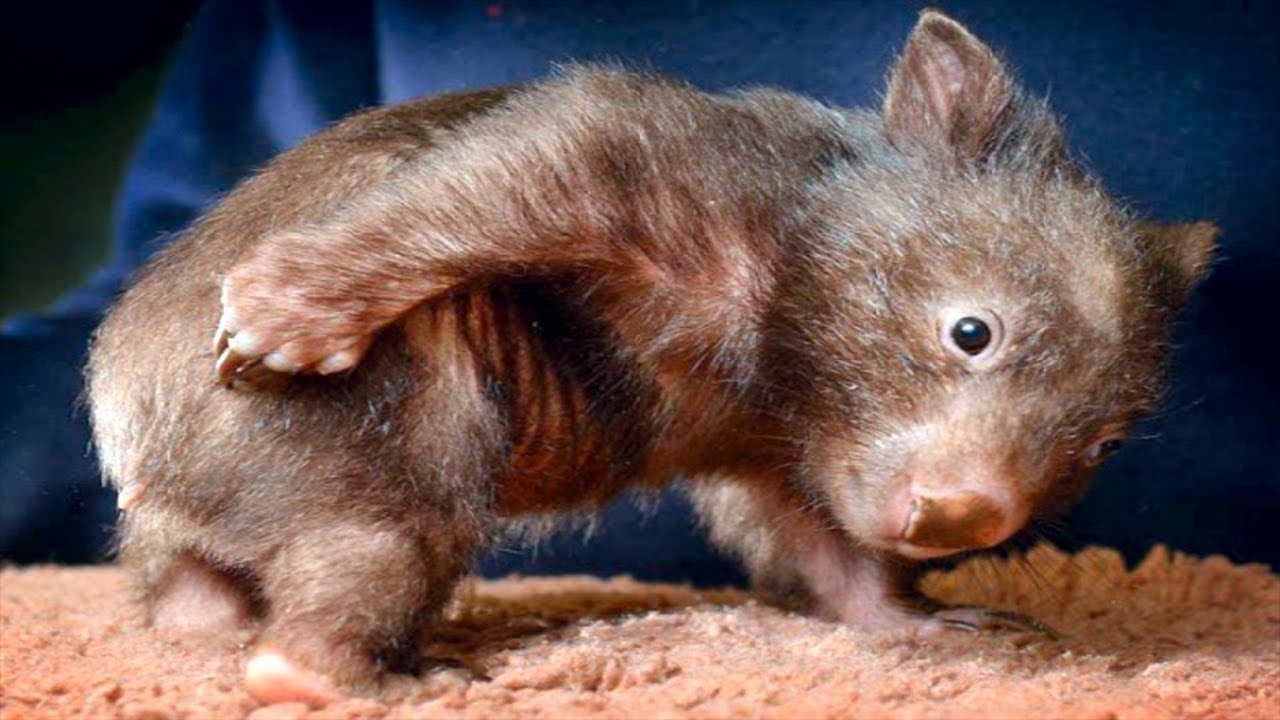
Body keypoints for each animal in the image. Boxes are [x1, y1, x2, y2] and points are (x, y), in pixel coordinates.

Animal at [87, 10, 1216, 708]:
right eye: (969, 333)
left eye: (1104, 443)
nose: (961, 518)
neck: (784, 344)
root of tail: (126, 421)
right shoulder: (666, 163)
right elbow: (514, 179)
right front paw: (281, 313)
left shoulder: (782, 446)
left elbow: (817, 536)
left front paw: (928, 625)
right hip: (339, 418)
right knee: (387, 519)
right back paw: (367, 678)